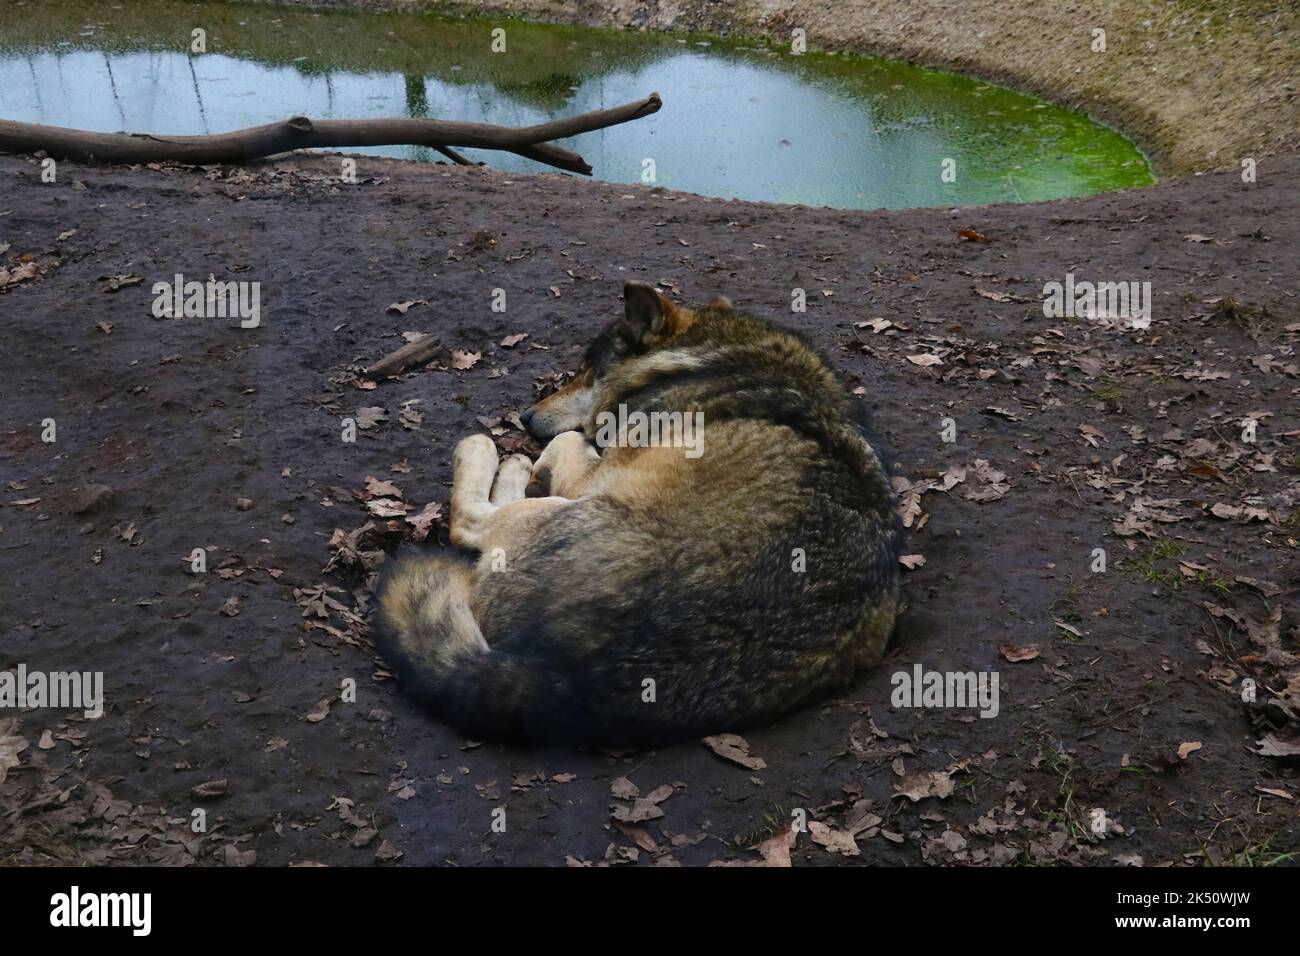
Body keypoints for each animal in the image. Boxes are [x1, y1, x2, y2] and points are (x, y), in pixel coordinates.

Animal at [374, 282, 902, 746]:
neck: (695, 361)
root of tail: (580, 681)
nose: (524, 417)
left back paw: (495, 455)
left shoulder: (594, 473)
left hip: (552, 513)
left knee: (469, 522)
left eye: (588, 370)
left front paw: (528, 458)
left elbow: (570, 440)